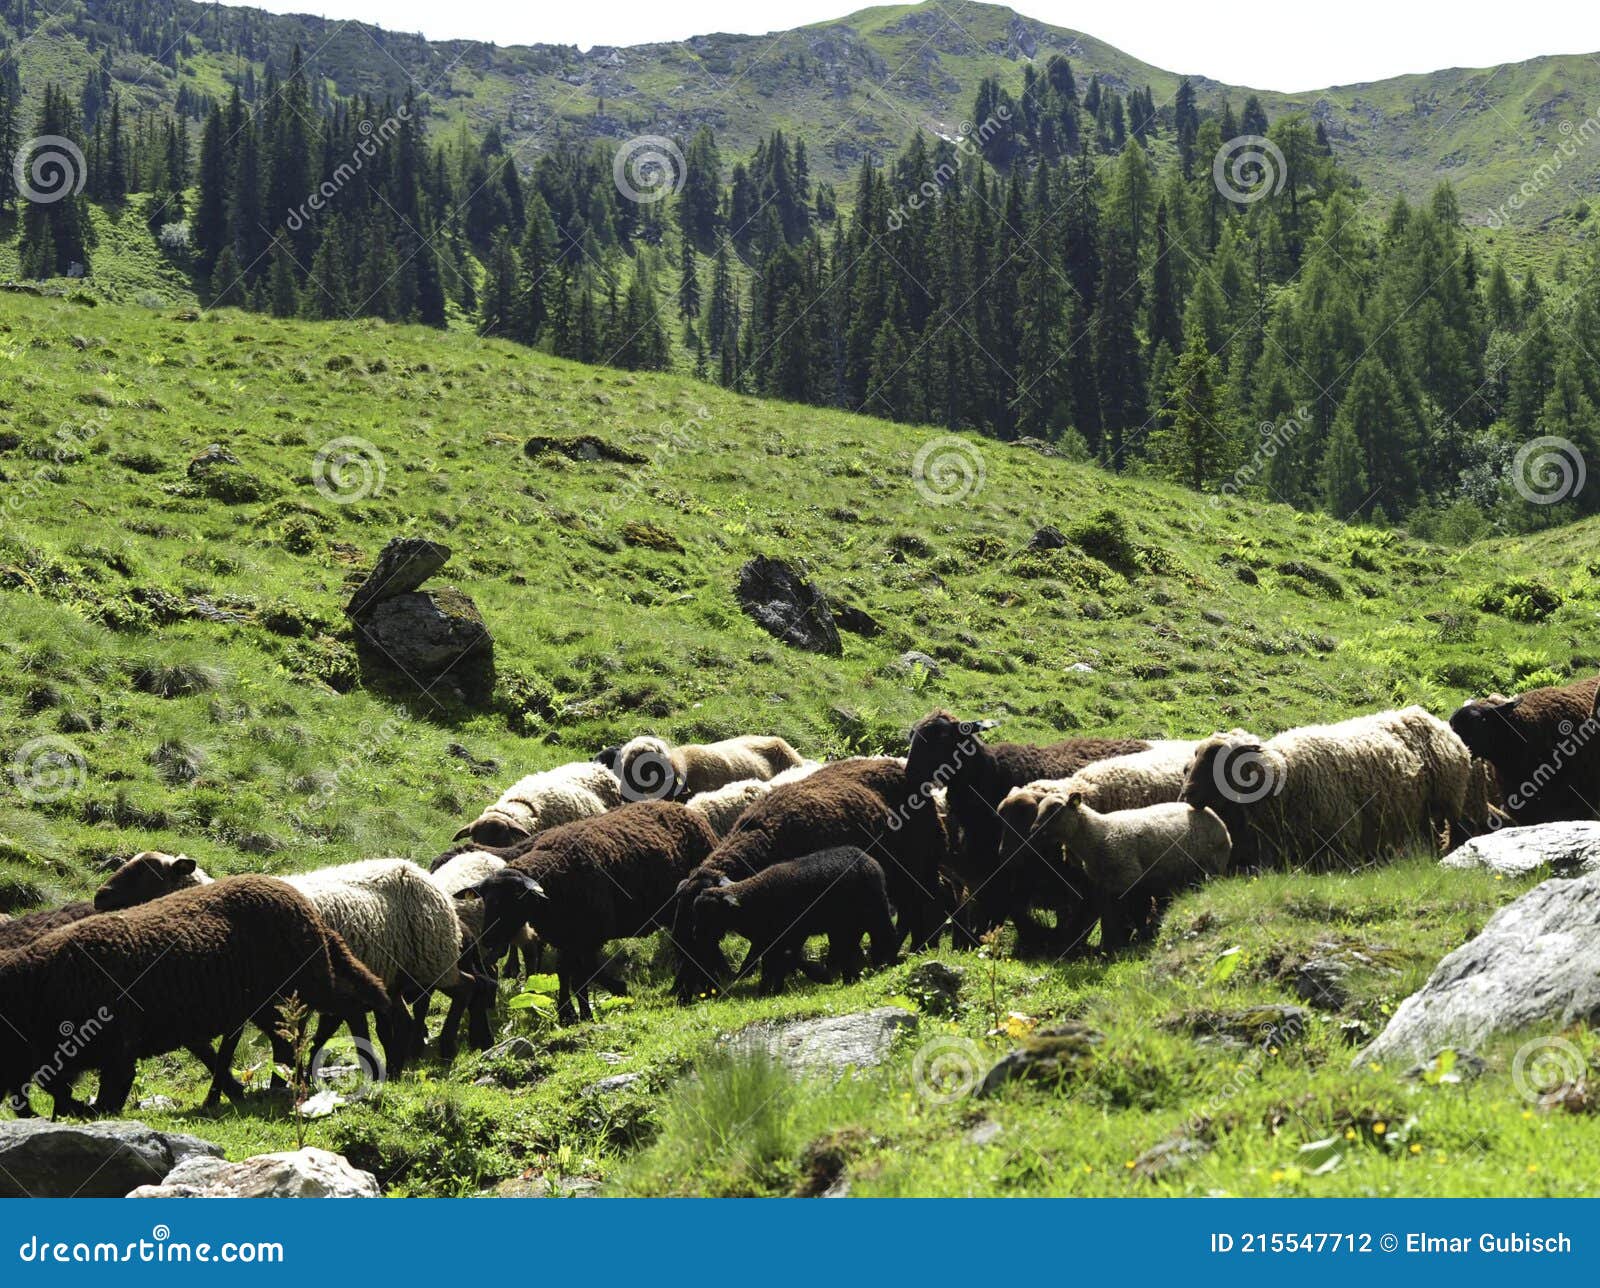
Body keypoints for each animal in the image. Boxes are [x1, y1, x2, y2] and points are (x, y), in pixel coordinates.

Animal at [0, 876, 388, 1118]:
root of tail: (306, 907)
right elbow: (54, 1088)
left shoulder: (117, 1048)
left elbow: (107, 1093)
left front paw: (85, 1113)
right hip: (271, 1001)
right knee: (286, 1040)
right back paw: (279, 1087)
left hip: (307, 981)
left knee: (352, 1007)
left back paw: (366, 1068)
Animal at [467, 801, 719, 1024]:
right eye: (486, 901)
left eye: (512, 902)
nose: (487, 940)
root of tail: (683, 808)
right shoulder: (566, 937)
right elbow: (564, 973)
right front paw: (567, 1014)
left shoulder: (590, 936)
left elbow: (581, 975)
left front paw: (595, 1007)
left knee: (693, 946)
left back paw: (700, 986)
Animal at [691, 847, 899, 994]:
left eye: (710, 911)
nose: (695, 935)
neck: (753, 902)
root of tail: (869, 859)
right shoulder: (770, 939)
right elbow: (773, 962)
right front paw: (769, 991)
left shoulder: (795, 931)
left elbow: (786, 957)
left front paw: (821, 976)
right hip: (848, 922)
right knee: (849, 946)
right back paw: (853, 977)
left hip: (875, 909)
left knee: (885, 934)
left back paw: (887, 965)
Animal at [1028, 794, 1232, 949]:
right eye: (1039, 810)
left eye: (1055, 810)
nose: (1033, 831)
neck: (1098, 836)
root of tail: (1215, 816)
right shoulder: (1104, 884)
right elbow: (1108, 915)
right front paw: (1108, 947)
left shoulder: (1129, 878)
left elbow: (1132, 913)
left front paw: (1126, 944)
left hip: (1213, 864)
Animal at [1180, 707, 1472, 871]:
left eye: (1218, 759)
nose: (1186, 794)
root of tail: (1428, 716)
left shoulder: (1340, 836)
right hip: (1419, 810)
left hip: (1449, 798)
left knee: (1453, 830)